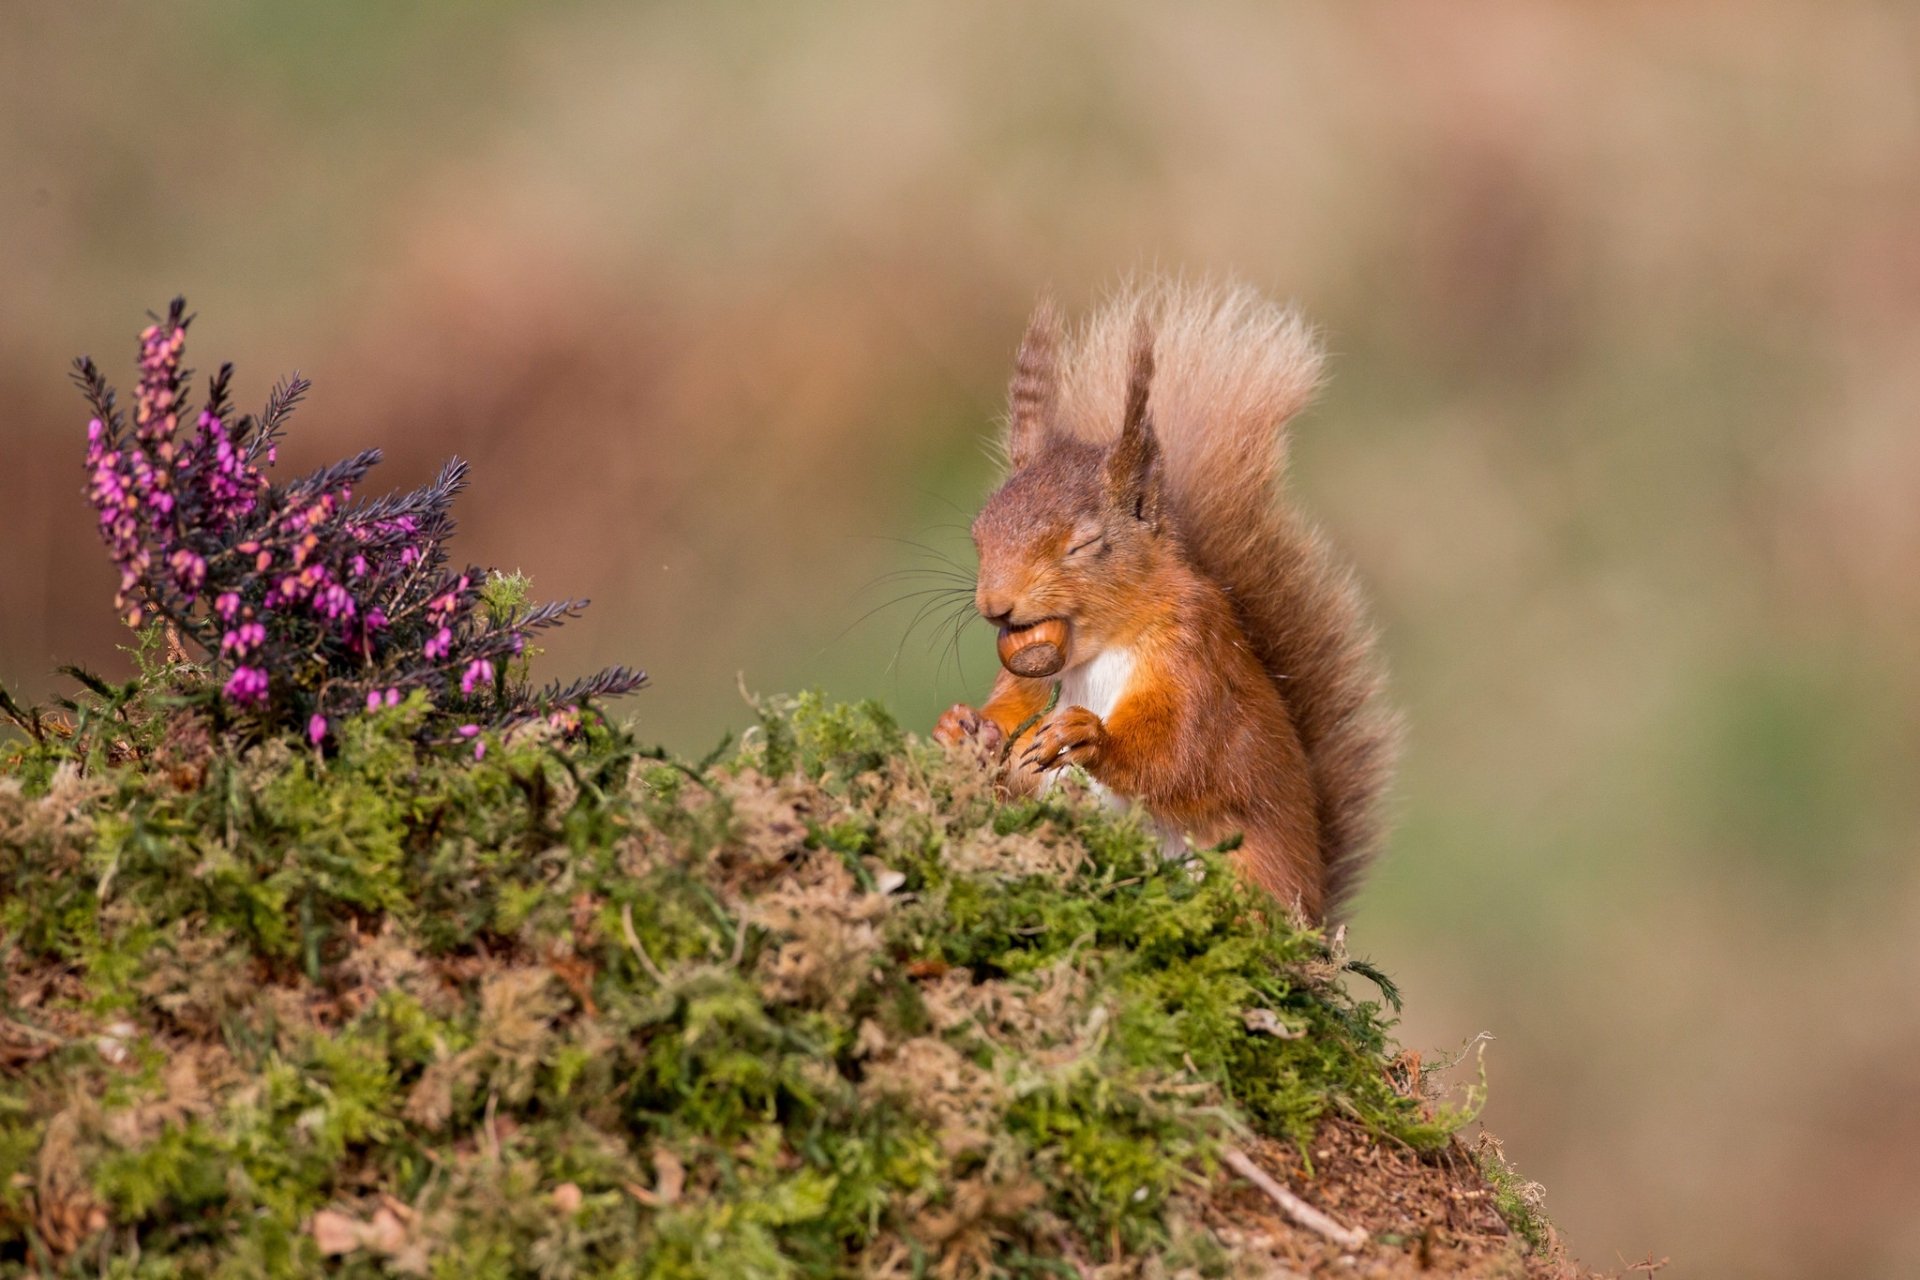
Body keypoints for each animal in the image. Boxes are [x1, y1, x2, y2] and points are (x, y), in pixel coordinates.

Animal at [932, 280, 1399, 921]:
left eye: (1084, 543)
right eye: (979, 532)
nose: (996, 607)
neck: (1098, 646)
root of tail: (1316, 913)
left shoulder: (1195, 656)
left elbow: (1185, 754)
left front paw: (1087, 735)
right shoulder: (1031, 677)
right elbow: (1012, 732)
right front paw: (964, 729)